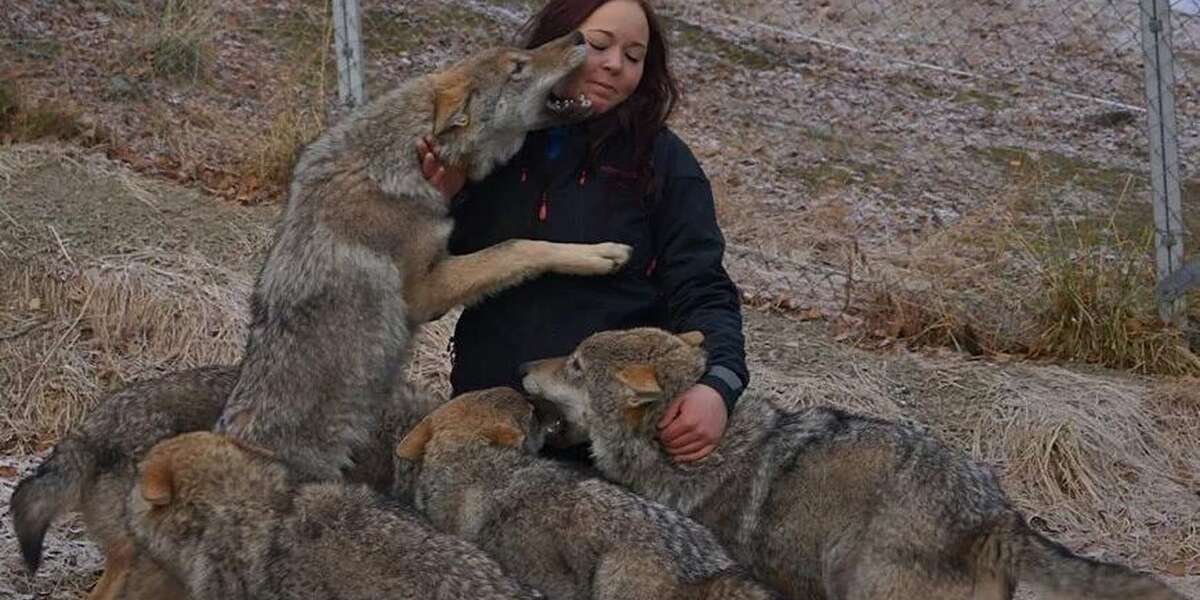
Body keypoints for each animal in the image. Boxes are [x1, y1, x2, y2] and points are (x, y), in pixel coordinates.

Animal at [214, 30, 631, 482]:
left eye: (525, 53)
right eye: (517, 68)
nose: (580, 35)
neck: (395, 162)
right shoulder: (424, 294)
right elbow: (518, 247)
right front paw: (601, 255)